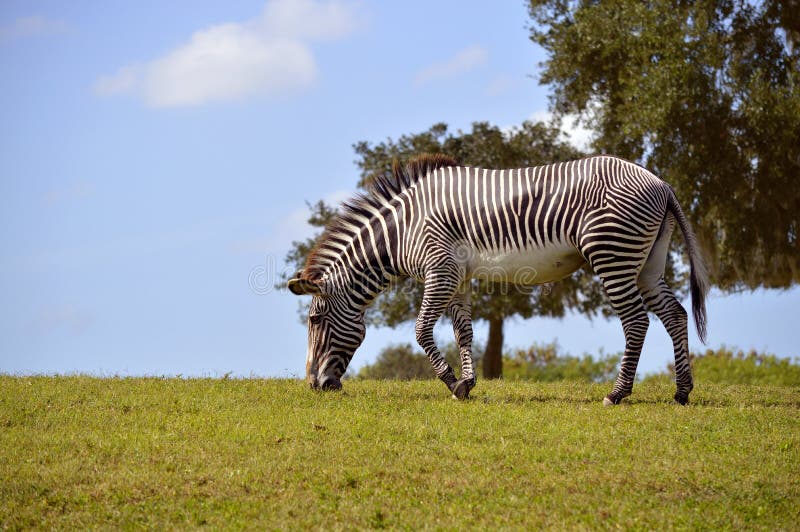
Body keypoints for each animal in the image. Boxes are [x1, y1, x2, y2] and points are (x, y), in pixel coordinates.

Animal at [288, 154, 709, 405]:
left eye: (314, 320)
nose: (314, 386)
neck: (401, 230)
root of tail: (661, 184)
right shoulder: (457, 276)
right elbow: (464, 332)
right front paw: (467, 385)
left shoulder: (439, 269)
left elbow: (422, 330)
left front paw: (451, 382)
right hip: (647, 263)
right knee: (675, 314)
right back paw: (682, 391)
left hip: (613, 254)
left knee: (636, 322)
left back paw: (617, 394)